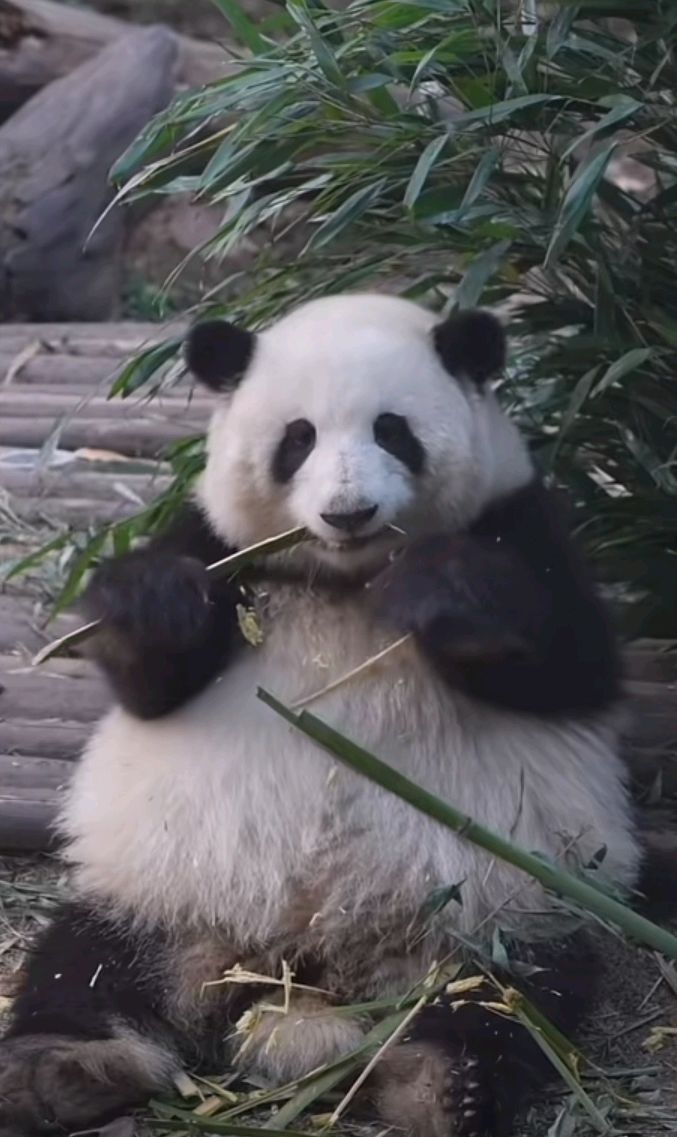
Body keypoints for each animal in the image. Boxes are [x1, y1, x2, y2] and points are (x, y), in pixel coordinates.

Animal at [0, 293, 642, 1137]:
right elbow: (149, 683)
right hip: (159, 891)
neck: (347, 577)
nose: (348, 511)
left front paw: (441, 592)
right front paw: (155, 600)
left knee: (509, 999)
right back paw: (55, 1069)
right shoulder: (219, 541)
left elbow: (574, 663)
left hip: (501, 910)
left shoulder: (525, 526)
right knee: (83, 962)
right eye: (296, 438)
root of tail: (304, 971)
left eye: (392, 429)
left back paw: (442, 1083)